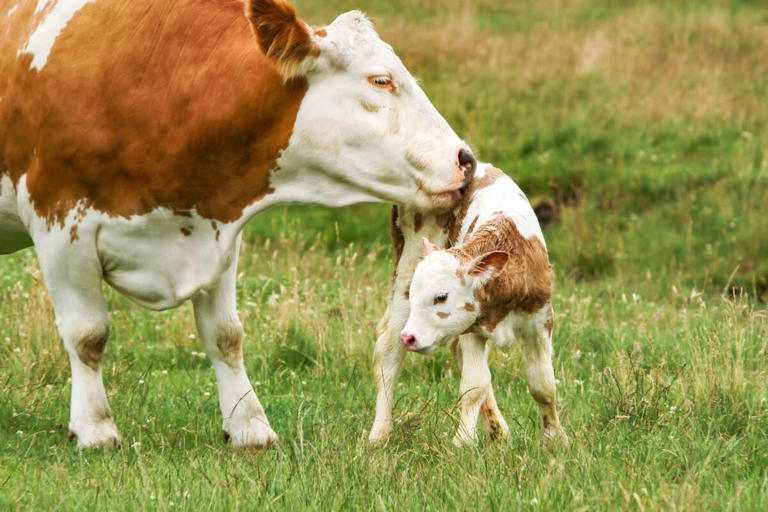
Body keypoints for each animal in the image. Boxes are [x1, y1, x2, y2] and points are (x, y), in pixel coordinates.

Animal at [0, 0, 476, 449]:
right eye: (380, 80)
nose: (466, 159)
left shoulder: (219, 229)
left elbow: (226, 335)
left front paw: (249, 426)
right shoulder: (59, 225)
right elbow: (88, 335)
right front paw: (95, 430)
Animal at [369, 164, 567, 446]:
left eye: (441, 296)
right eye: (416, 294)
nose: (409, 337)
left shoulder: (540, 319)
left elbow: (542, 383)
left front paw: (555, 439)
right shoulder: (471, 329)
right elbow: (474, 385)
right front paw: (463, 442)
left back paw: (499, 435)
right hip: (405, 269)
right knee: (387, 352)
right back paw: (379, 435)